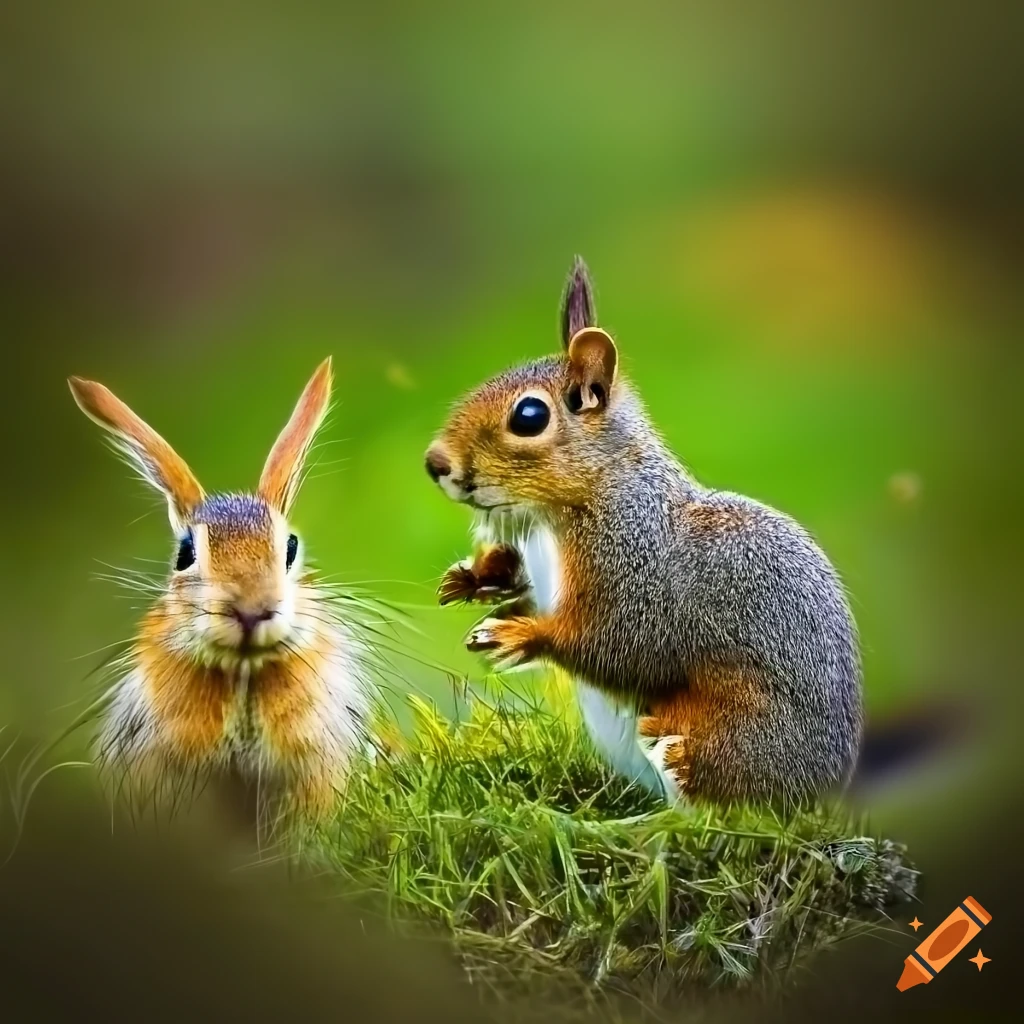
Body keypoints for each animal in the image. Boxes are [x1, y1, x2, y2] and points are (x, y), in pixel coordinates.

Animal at [425, 257, 951, 807]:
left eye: (529, 416)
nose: (435, 463)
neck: (560, 515)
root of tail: (822, 797)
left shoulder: (639, 572)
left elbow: (618, 644)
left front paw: (518, 633)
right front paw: (479, 576)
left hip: (710, 739)